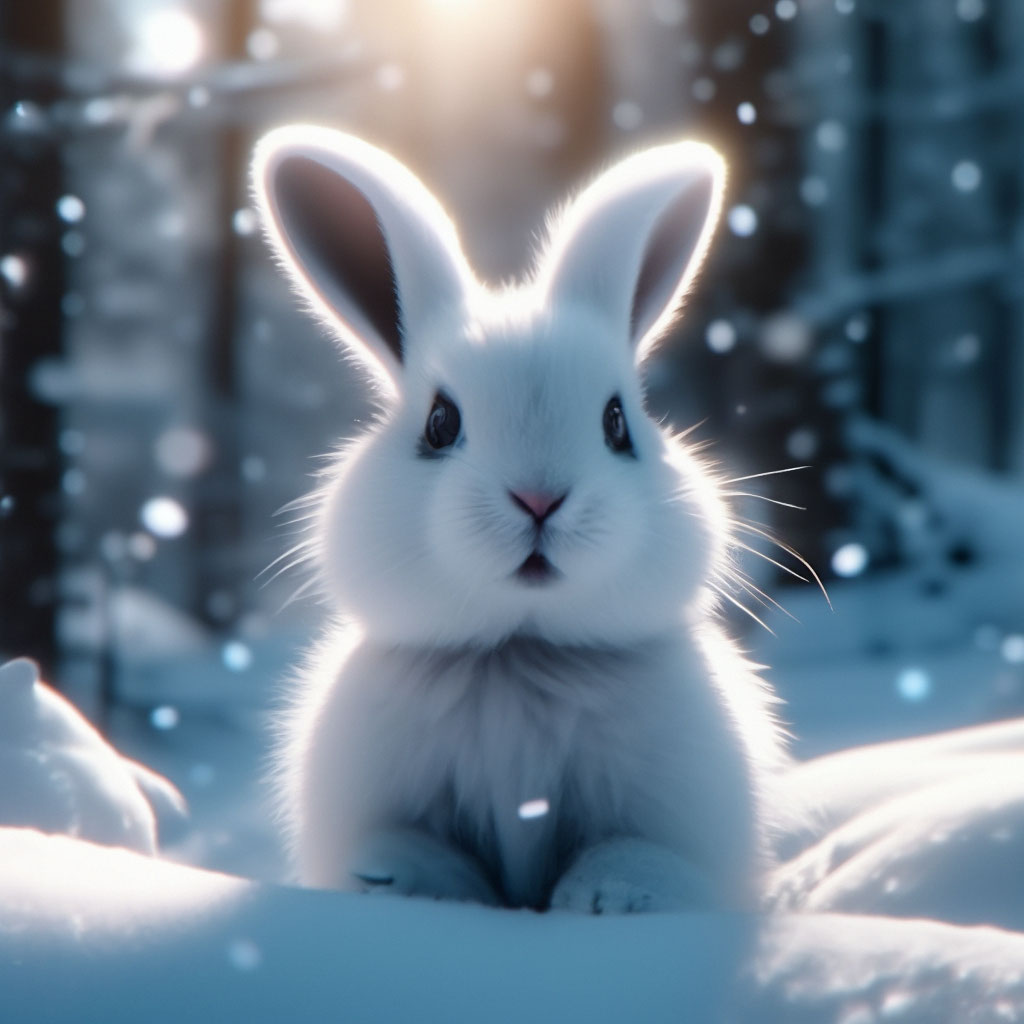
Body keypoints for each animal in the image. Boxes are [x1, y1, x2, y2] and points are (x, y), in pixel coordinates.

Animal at [252, 126, 790, 913]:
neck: (519, 651)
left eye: (617, 423)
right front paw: (405, 887)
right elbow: (410, 852)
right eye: (440, 422)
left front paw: (609, 900)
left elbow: (633, 854)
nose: (539, 498)